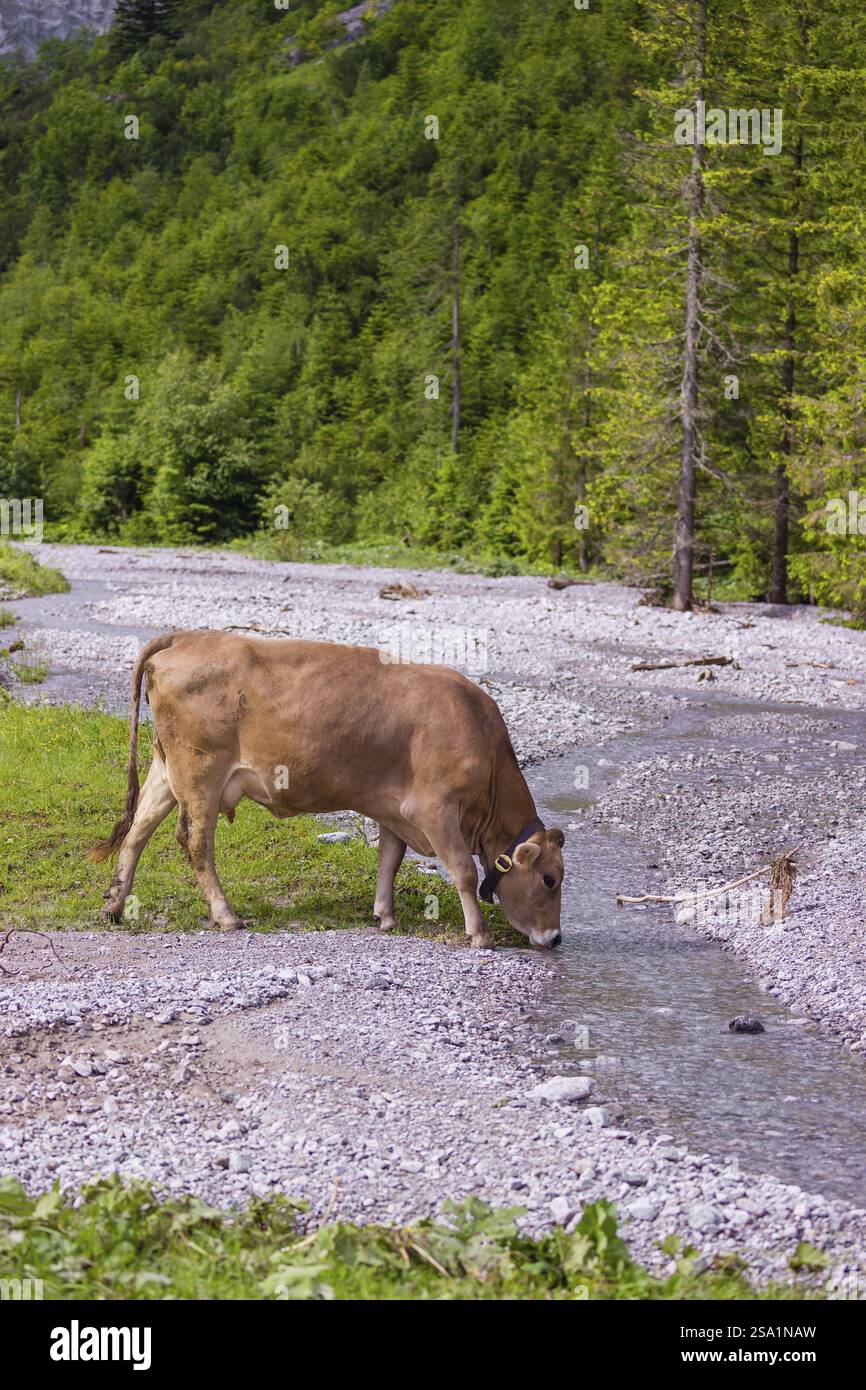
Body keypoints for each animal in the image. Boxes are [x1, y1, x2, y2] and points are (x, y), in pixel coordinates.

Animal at [90, 631, 565, 949]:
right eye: (550, 879)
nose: (556, 938)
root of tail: (188, 636)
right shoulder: (436, 809)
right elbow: (464, 871)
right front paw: (479, 934)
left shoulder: (395, 810)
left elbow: (389, 861)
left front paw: (385, 916)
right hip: (200, 772)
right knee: (194, 842)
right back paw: (226, 916)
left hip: (167, 770)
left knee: (138, 830)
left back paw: (114, 904)